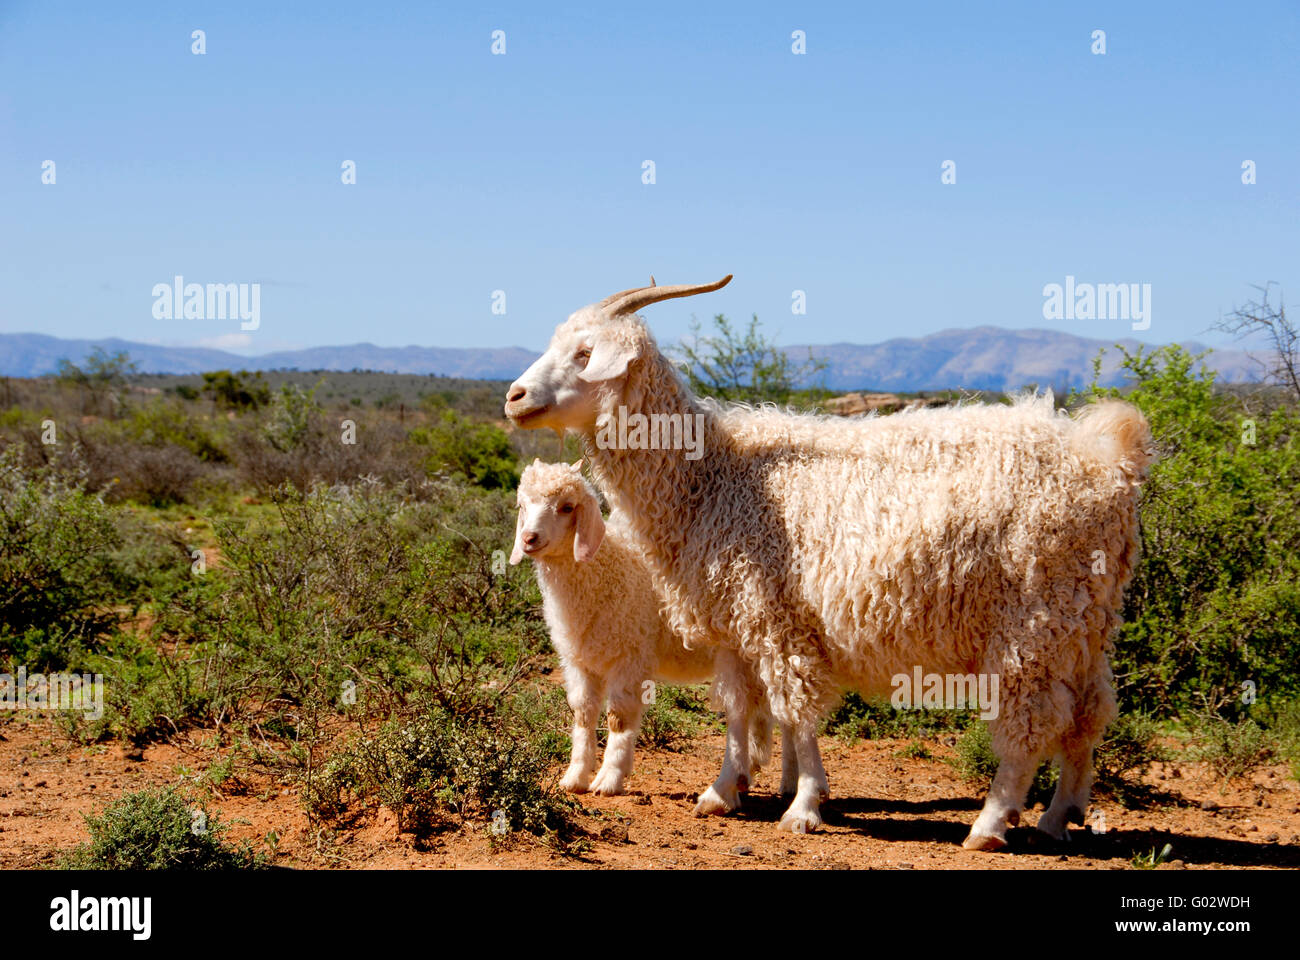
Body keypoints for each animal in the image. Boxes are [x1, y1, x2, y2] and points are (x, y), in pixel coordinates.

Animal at [510, 457, 772, 808]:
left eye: (566, 507)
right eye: (522, 505)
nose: (529, 538)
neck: (607, 570)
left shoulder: (630, 656)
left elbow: (618, 718)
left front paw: (608, 780)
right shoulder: (579, 661)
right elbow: (582, 714)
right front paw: (575, 778)